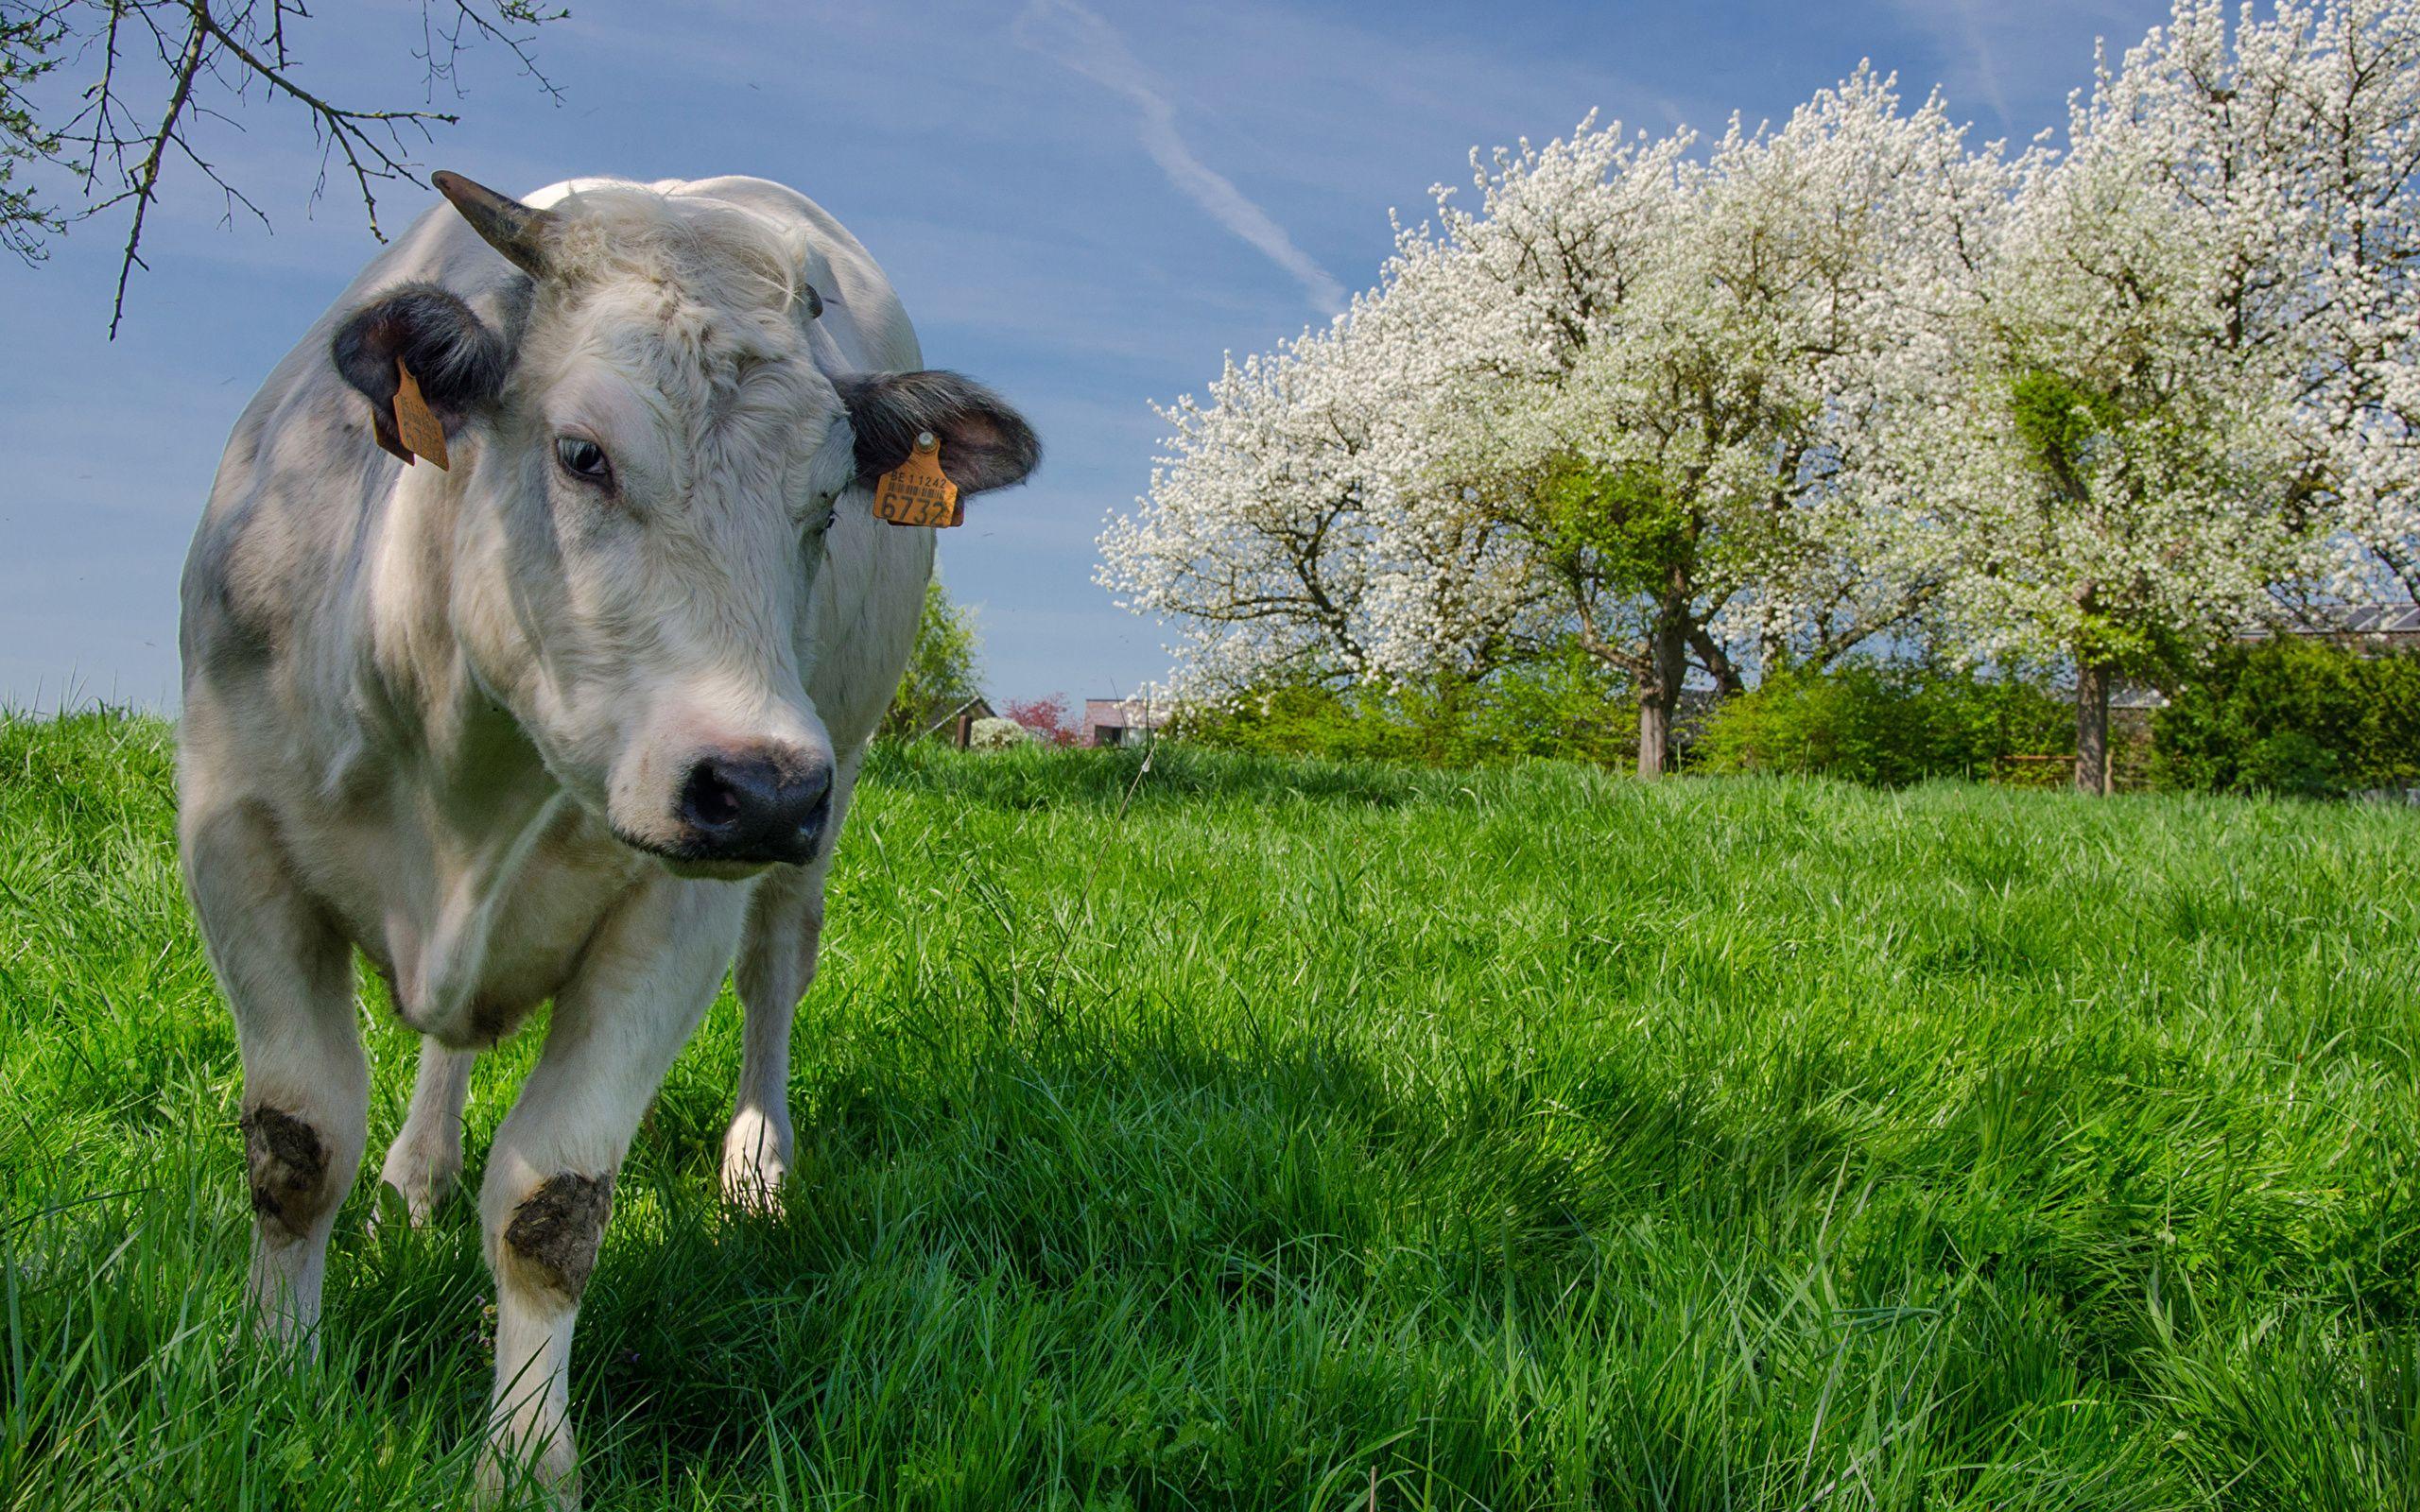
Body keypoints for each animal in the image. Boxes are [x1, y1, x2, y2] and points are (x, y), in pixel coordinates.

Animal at [177, 170, 1037, 1503]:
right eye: (581, 454)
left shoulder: (673, 915)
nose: (763, 786)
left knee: (774, 977)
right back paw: (415, 1176)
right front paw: (272, 1376)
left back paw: (754, 1172)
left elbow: (552, 1206)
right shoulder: (232, 838)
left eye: (824, 503)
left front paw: (527, 1461)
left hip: (819, 814)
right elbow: (298, 1146)